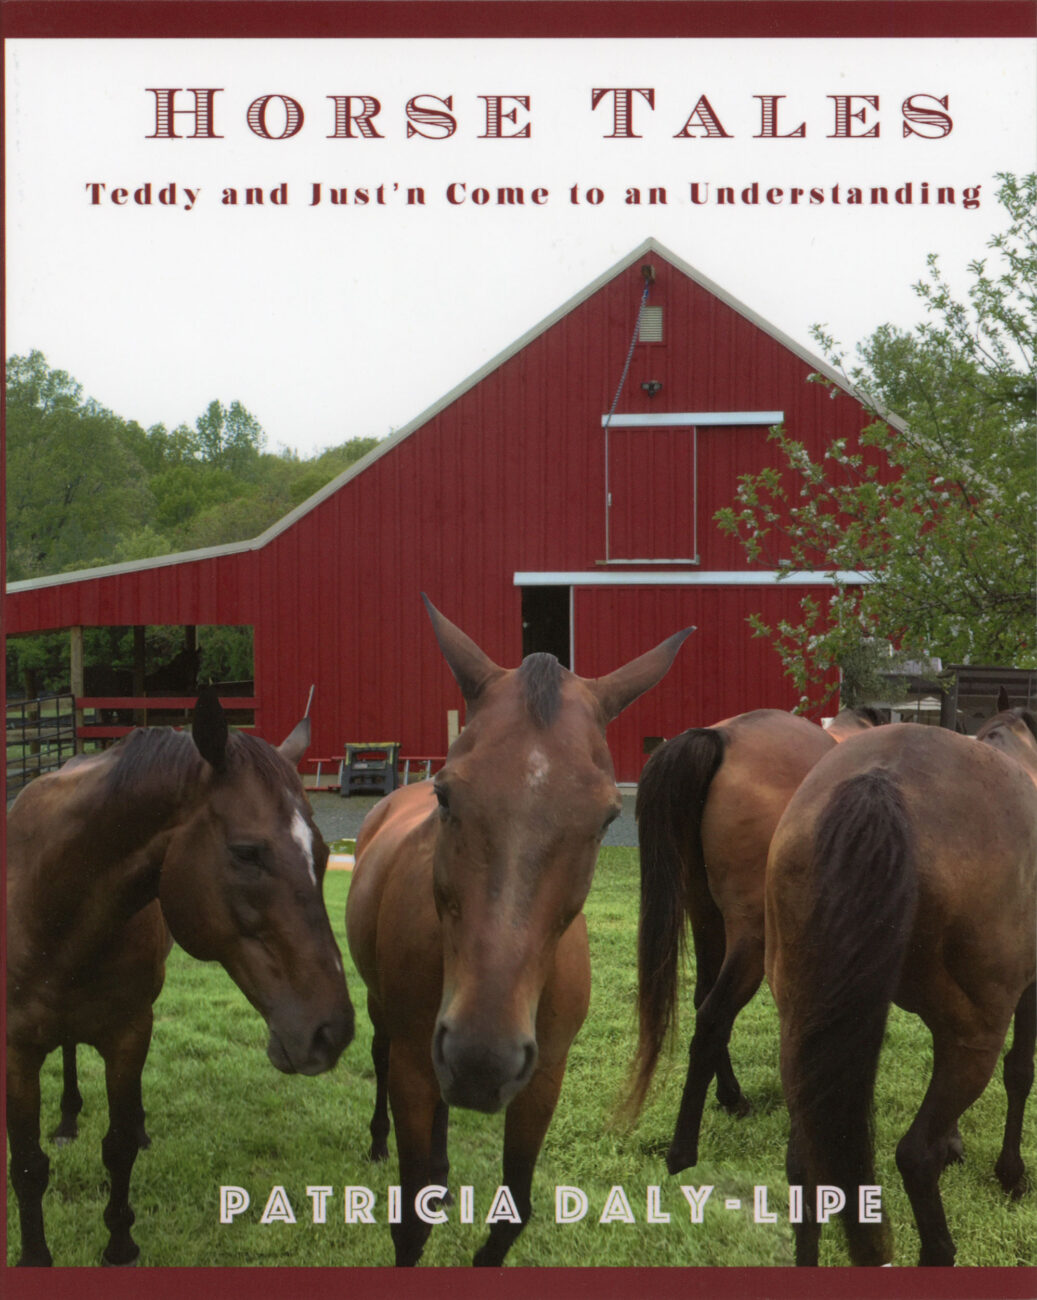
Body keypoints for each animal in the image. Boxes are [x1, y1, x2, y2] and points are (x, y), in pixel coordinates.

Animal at [6, 689, 355, 1267]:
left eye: (324, 854)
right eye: (246, 852)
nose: (334, 1031)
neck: (48, 903)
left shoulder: (129, 1032)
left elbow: (119, 1146)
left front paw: (120, 1244)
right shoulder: (15, 1051)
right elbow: (28, 1166)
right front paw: (36, 1257)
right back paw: (67, 1120)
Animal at [346, 596, 691, 1266]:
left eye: (607, 817)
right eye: (445, 794)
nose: (481, 1057)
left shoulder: (543, 1076)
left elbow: (514, 1213)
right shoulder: (413, 1067)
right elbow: (411, 1220)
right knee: (379, 1055)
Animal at [627, 709, 838, 1171]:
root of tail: (718, 737)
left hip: (706, 915)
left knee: (704, 999)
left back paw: (731, 1097)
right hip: (751, 935)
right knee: (713, 1016)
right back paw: (681, 1152)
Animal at [765, 722, 1037, 1266]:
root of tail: (879, 783)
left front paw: (956, 1143)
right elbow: (1020, 1072)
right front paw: (1011, 1174)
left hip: (799, 1026)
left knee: (804, 1162)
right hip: (978, 1034)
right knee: (915, 1156)